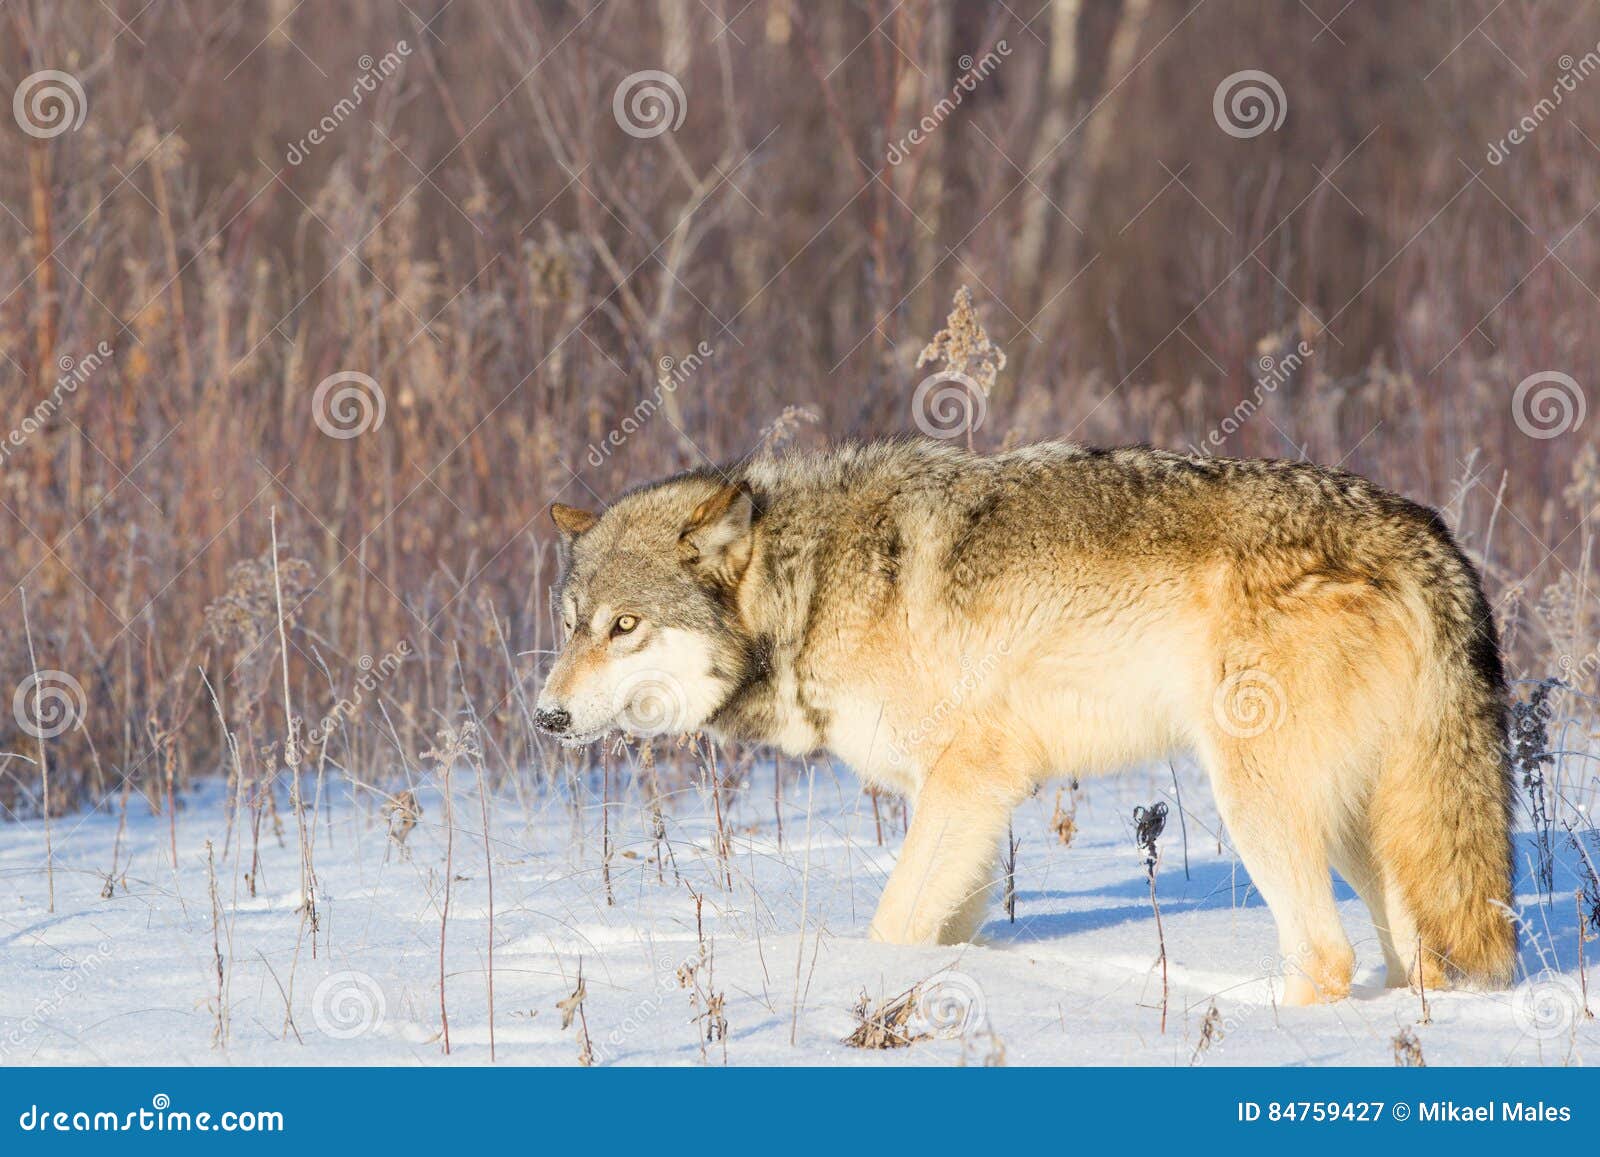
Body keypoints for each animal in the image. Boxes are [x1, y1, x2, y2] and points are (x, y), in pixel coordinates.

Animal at [535, 439, 1516, 1004]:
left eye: (625, 626)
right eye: (572, 621)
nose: (545, 716)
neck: (807, 584)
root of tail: (1424, 532)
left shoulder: (969, 781)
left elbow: (890, 927)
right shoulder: (966, 804)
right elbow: (942, 928)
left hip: (1262, 802)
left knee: (1326, 956)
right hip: (1360, 820)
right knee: (1419, 956)